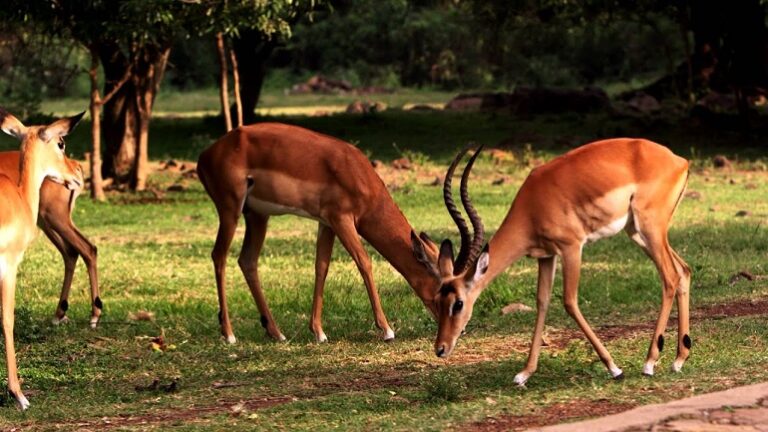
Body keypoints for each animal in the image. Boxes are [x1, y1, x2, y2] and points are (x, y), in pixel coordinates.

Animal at [0, 108, 85, 410]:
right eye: (61, 142)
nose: (77, 174)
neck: (21, 196)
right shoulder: (9, 264)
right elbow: (7, 320)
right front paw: (19, 395)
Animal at [0, 152, 101, 328]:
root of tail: (74, 164)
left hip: (55, 217)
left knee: (88, 249)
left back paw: (94, 315)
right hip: (46, 221)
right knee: (71, 253)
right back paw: (59, 314)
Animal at [197, 123, 442, 344]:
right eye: (442, 282)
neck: (357, 173)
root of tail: (204, 156)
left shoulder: (327, 224)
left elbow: (321, 267)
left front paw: (319, 332)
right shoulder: (342, 219)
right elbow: (364, 261)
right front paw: (387, 330)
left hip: (258, 216)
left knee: (247, 260)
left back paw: (276, 333)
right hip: (230, 209)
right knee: (219, 256)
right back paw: (229, 334)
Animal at [430, 139, 691, 384]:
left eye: (458, 303)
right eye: (437, 300)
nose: (440, 348)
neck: (532, 206)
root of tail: (680, 161)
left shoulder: (571, 248)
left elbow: (569, 301)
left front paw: (614, 368)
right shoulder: (547, 256)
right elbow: (542, 302)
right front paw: (524, 374)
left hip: (650, 229)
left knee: (670, 277)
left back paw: (649, 363)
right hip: (637, 232)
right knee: (684, 271)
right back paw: (678, 360)